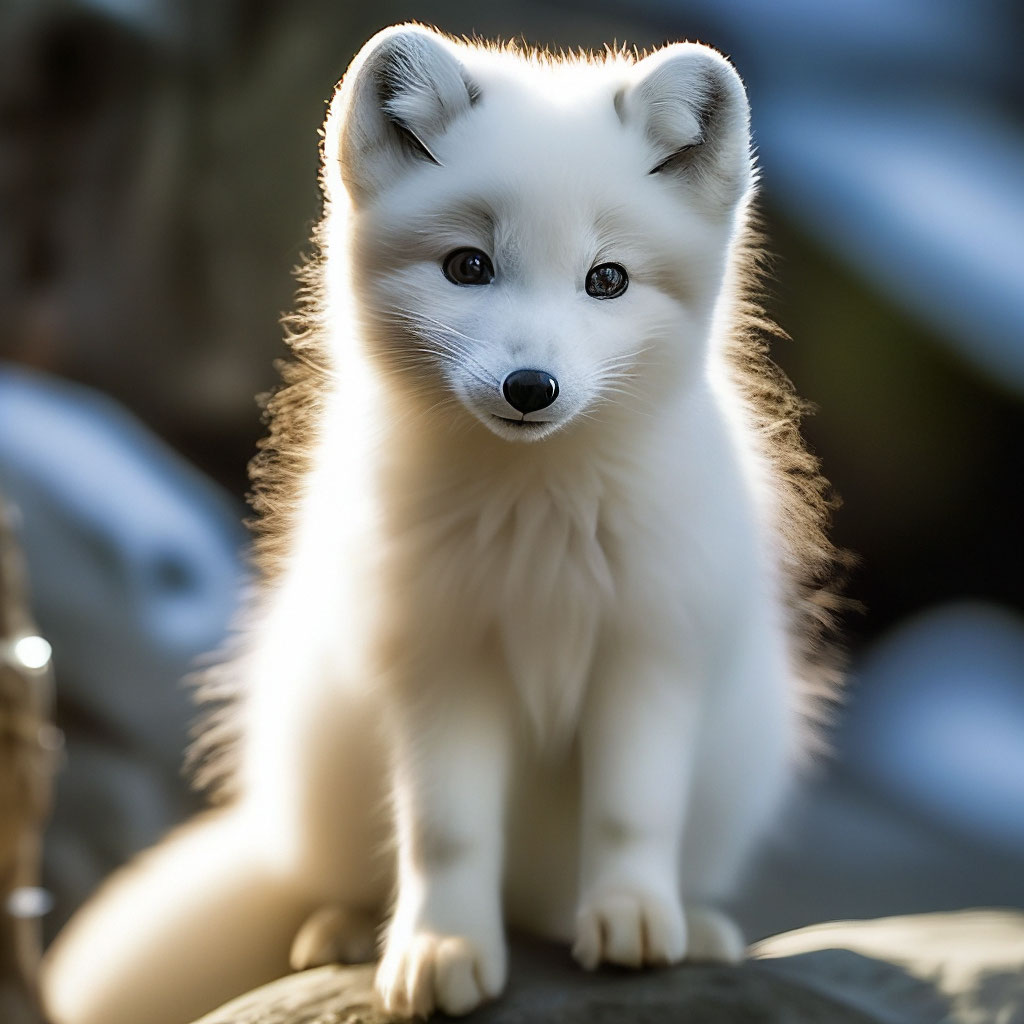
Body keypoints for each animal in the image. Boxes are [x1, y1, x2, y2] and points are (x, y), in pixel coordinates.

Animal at [42, 23, 842, 1024]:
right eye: (469, 265)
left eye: (607, 279)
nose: (531, 387)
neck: (538, 519)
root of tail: (533, 901)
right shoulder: (437, 661)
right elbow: (445, 830)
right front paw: (440, 950)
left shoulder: (651, 652)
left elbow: (632, 810)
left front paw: (635, 920)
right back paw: (348, 930)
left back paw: (691, 924)